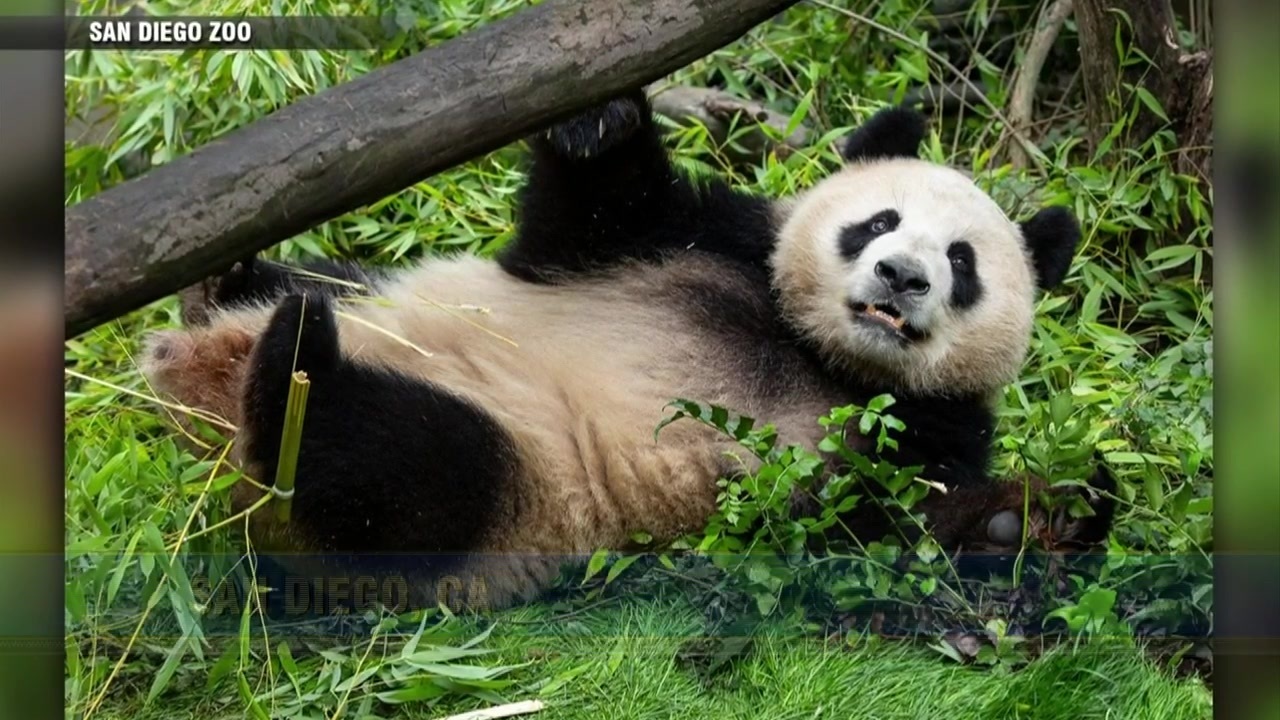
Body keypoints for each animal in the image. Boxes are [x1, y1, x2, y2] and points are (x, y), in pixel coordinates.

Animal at [142, 90, 1113, 612]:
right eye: (879, 222)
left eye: (963, 263)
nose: (903, 275)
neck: (820, 354)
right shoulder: (702, 241)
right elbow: (587, 218)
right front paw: (600, 119)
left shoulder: (920, 430)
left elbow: (876, 528)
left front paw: (1032, 521)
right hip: (374, 297)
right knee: (320, 291)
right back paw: (228, 287)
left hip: (518, 493)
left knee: (398, 465)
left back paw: (292, 375)